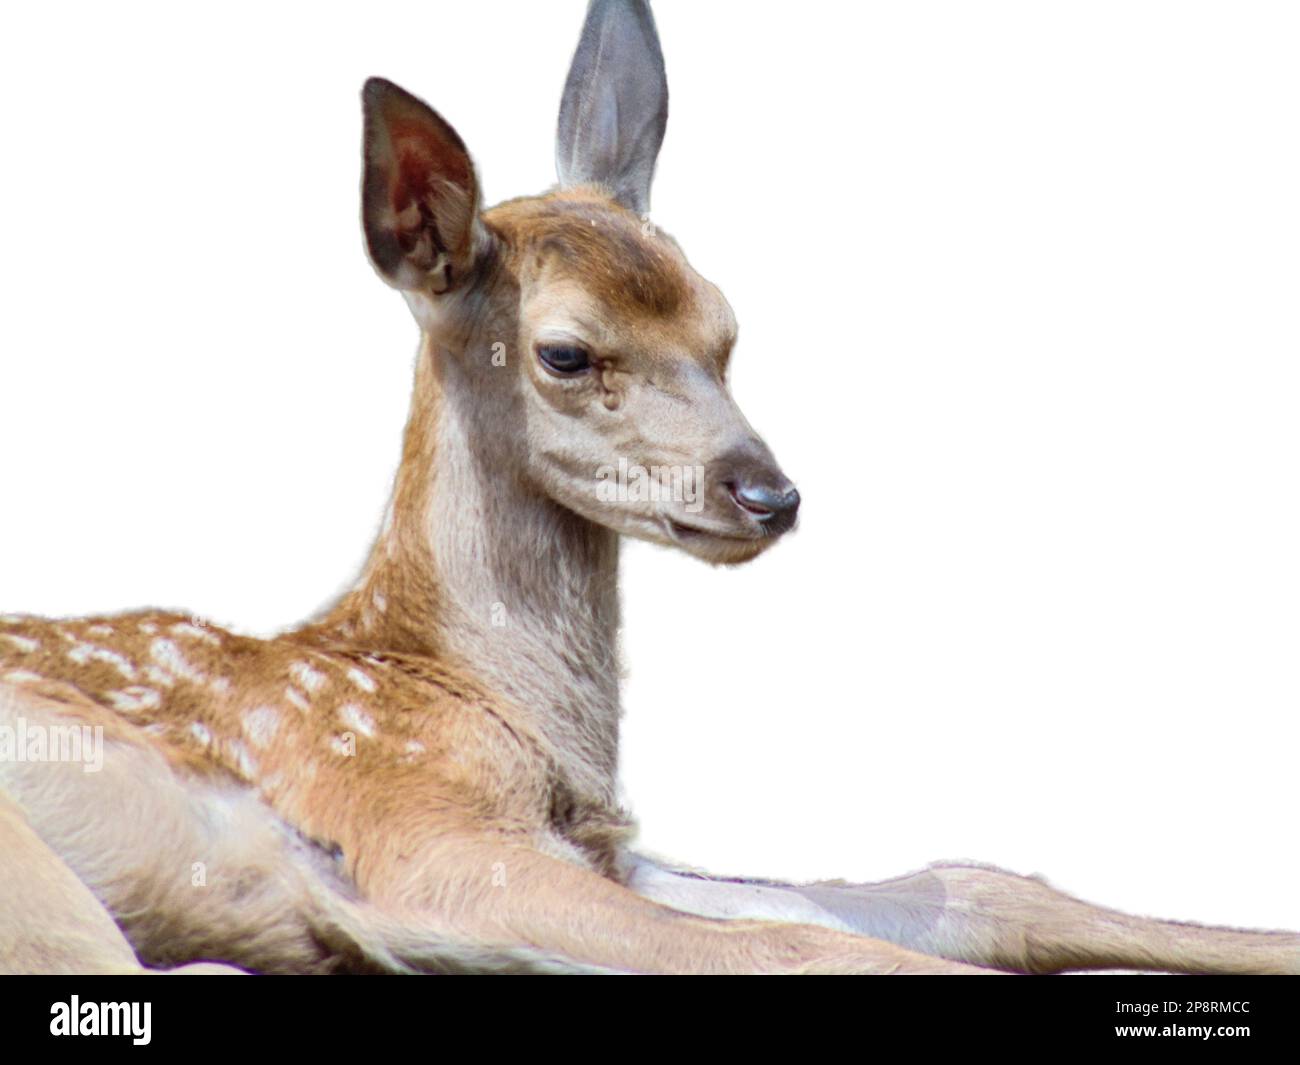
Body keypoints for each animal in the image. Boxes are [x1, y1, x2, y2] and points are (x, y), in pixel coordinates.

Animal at [1, 0, 1296, 976]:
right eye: (567, 353)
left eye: (728, 326)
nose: (766, 493)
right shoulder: (419, 833)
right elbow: (803, 946)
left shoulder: (599, 847)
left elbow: (962, 884)